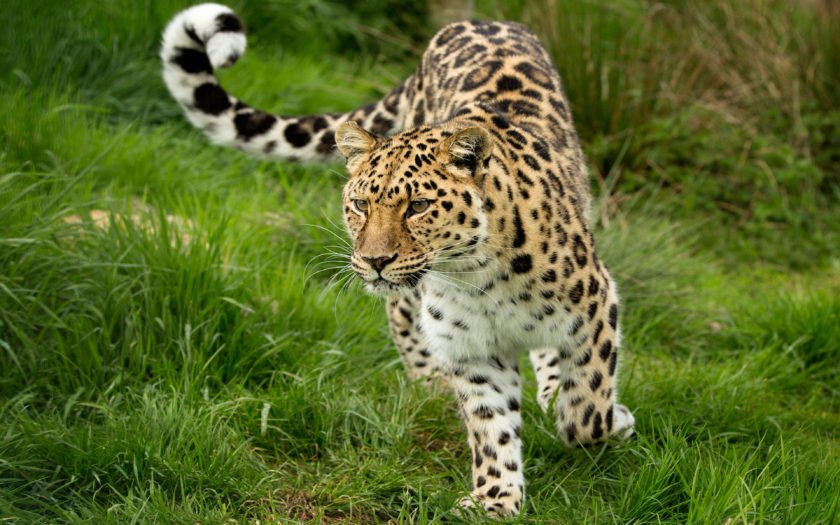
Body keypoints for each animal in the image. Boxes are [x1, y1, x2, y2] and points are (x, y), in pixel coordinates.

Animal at [161, 3, 636, 517]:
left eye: (418, 206)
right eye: (360, 205)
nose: (375, 260)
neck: (479, 278)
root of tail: (476, 22)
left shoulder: (597, 304)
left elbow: (587, 408)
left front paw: (610, 419)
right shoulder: (472, 351)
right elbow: (491, 427)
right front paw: (494, 500)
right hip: (414, 305)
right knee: (401, 315)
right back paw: (432, 381)